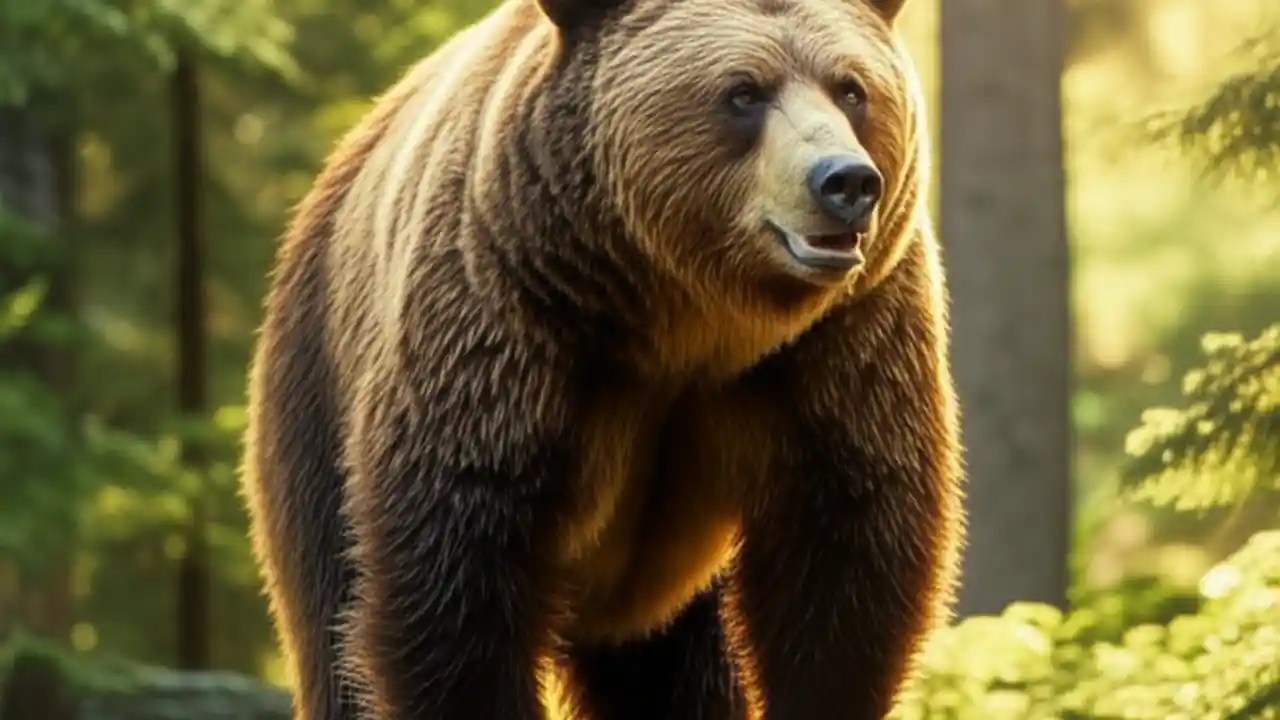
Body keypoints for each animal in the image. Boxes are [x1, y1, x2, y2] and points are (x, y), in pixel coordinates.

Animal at [241, 0, 963, 717]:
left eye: (852, 89)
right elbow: (454, 586)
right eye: (742, 92)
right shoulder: (506, 331)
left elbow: (847, 561)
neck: (690, 323)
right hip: (316, 390)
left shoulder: (842, 348)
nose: (846, 181)